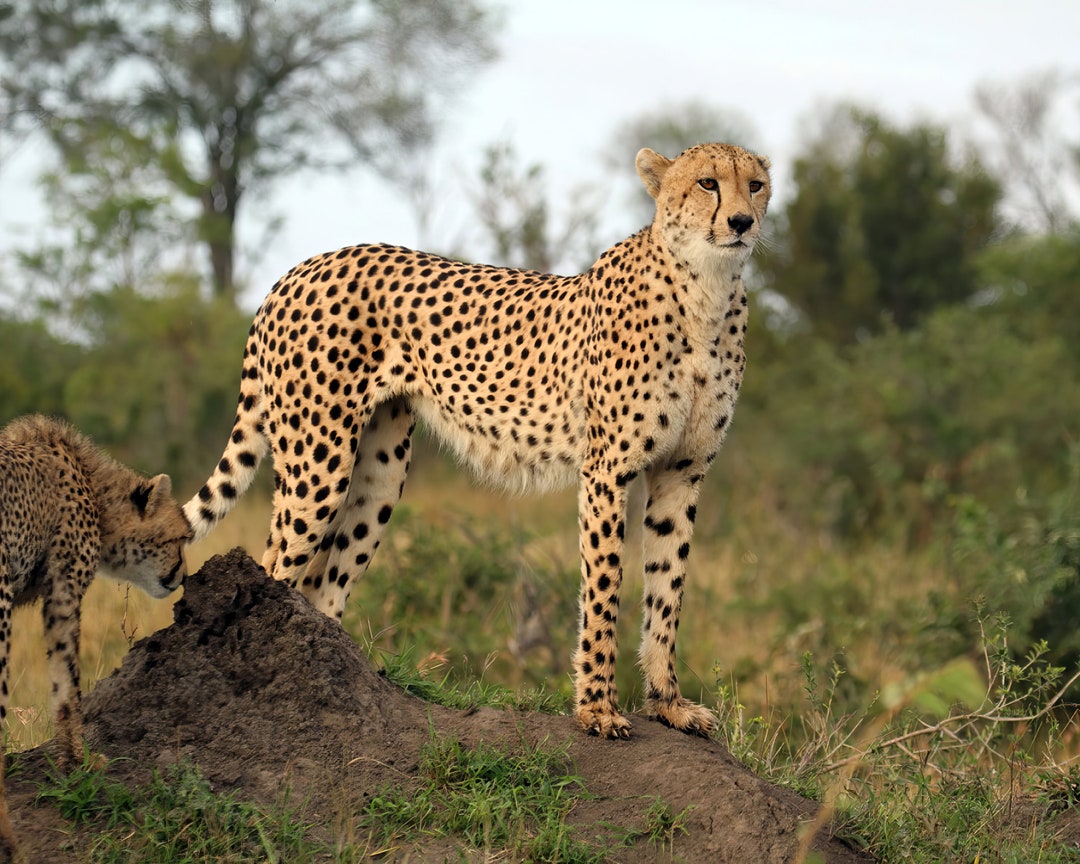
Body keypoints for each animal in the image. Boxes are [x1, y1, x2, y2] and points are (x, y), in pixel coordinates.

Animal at [0, 414, 191, 862]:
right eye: (179, 538)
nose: (184, 575)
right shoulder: (63, 589)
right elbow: (67, 685)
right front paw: (78, 761)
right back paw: (9, 842)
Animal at [184, 142, 772, 741]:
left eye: (756, 185)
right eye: (707, 183)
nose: (742, 222)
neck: (706, 289)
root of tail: (300, 268)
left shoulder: (682, 471)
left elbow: (666, 590)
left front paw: (668, 703)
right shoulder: (608, 470)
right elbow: (605, 587)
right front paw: (597, 710)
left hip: (380, 473)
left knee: (324, 582)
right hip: (317, 464)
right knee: (275, 564)